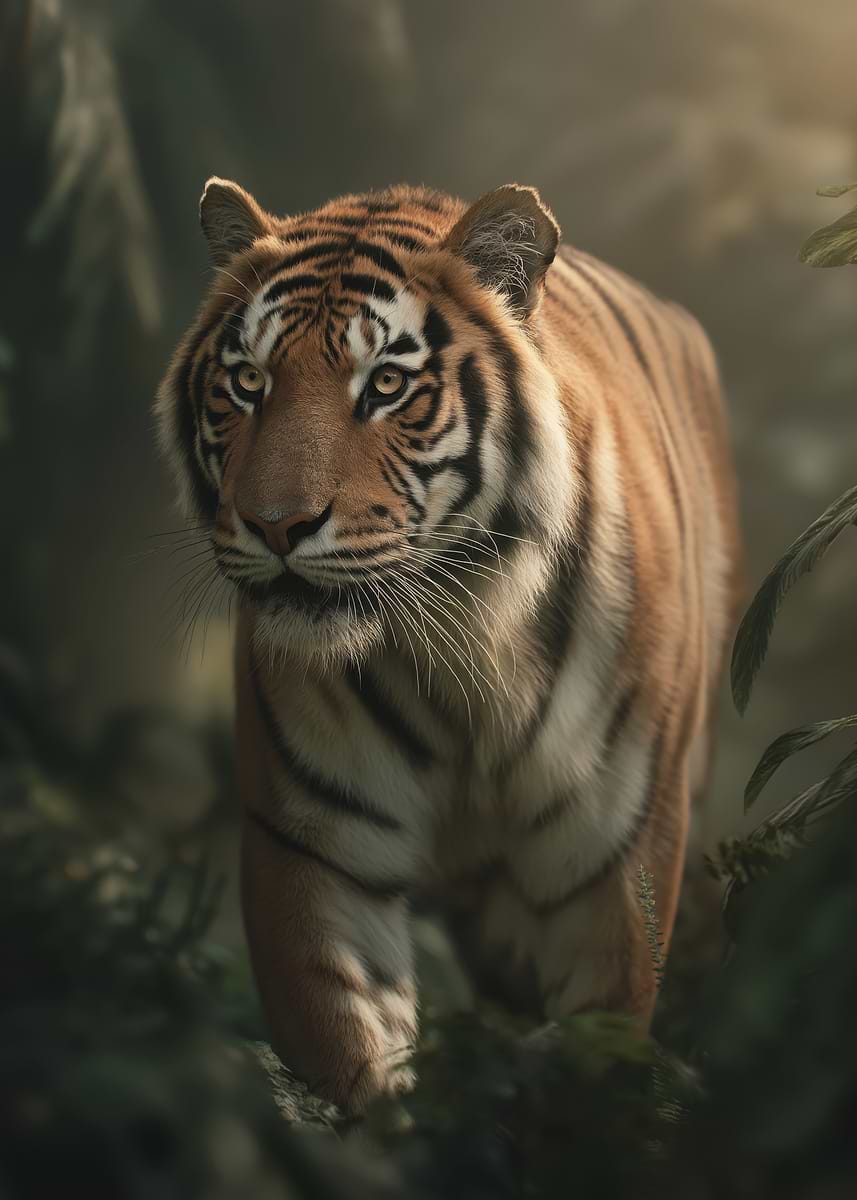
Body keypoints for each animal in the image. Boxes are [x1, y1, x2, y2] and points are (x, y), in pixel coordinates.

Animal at [156, 177, 742, 1113]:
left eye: (387, 385)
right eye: (247, 382)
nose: (275, 525)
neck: (462, 630)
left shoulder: (609, 857)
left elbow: (600, 1039)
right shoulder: (317, 844)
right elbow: (345, 1045)